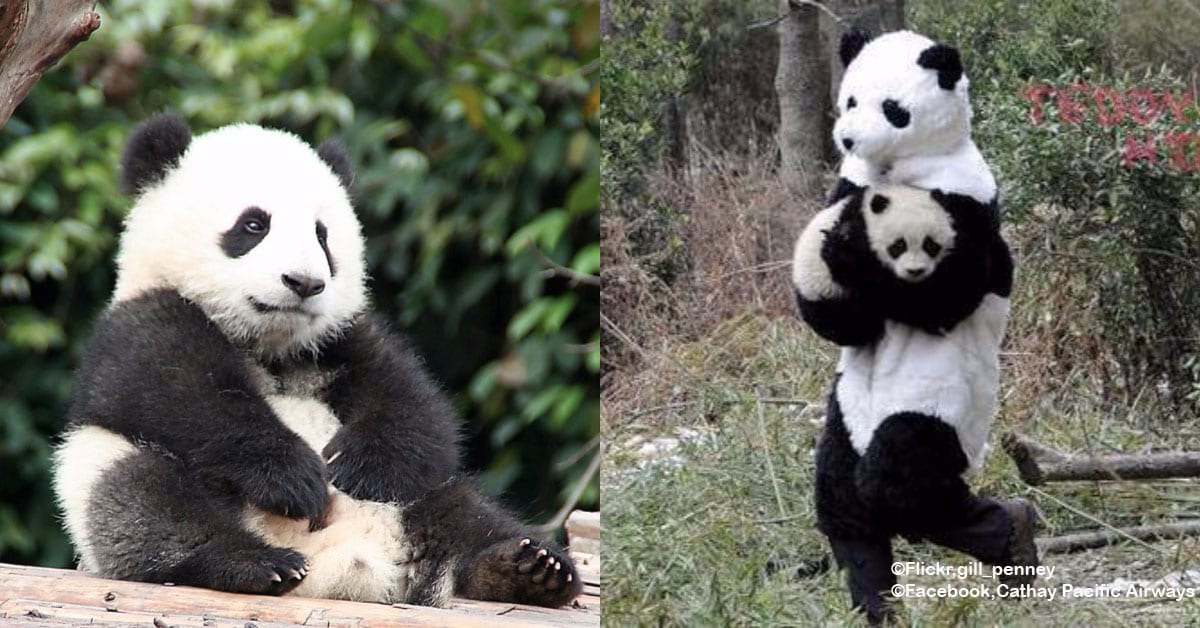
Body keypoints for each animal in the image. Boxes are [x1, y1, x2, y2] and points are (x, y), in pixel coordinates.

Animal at [51, 113, 582, 608]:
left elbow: (410, 401)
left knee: (462, 512)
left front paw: (358, 465)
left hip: (411, 507)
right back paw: (254, 563)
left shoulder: (341, 338)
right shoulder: (136, 325)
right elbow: (180, 394)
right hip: (102, 467)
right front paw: (295, 479)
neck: (270, 346)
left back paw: (527, 568)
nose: (304, 282)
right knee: (144, 501)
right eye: (253, 225)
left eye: (322, 235)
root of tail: (347, 568)